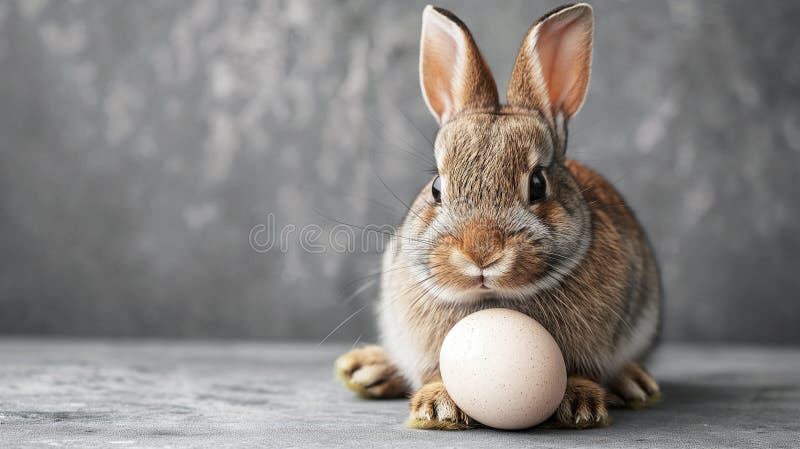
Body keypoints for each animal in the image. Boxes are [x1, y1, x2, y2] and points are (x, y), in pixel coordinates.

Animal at [335, 3, 662, 430]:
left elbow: (582, 372)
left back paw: (635, 384)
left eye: (538, 184)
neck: (494, 301)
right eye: (437, 187)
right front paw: (438, 408)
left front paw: (581, 405)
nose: (481, 252)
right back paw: (367, 370)